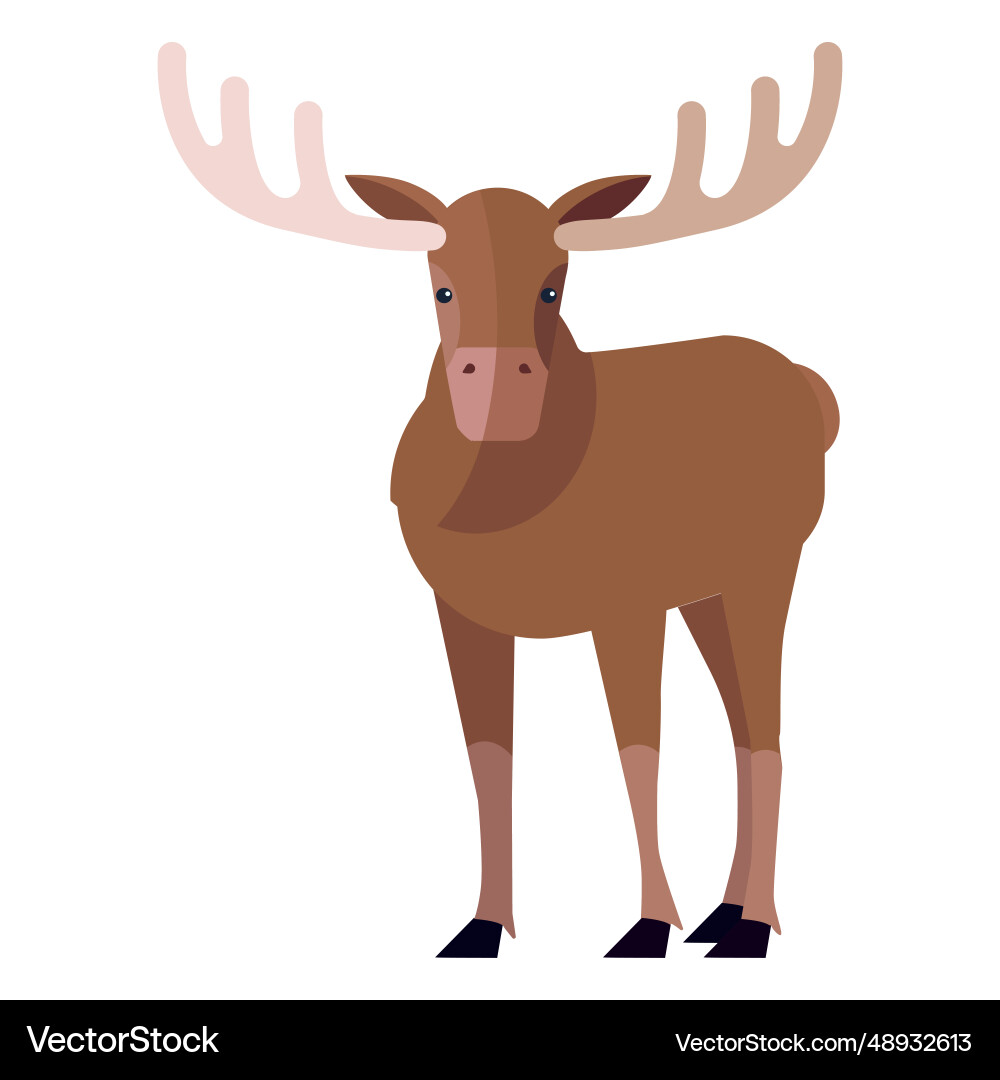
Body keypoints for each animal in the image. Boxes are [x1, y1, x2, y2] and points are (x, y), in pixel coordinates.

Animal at [158, 41, 841, 959]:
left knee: (764, 733)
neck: (509, 514)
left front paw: (645, 926)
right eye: (440, 286)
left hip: (769, 566)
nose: (499, 378)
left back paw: (750, 928)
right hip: (707, 590)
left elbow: (638, 750)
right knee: (741, 725)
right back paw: (724, 914)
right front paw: (482, 927)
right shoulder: (460, 610)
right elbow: (490, 757)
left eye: (555, 284)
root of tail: (813, 390)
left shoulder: (625, 604)